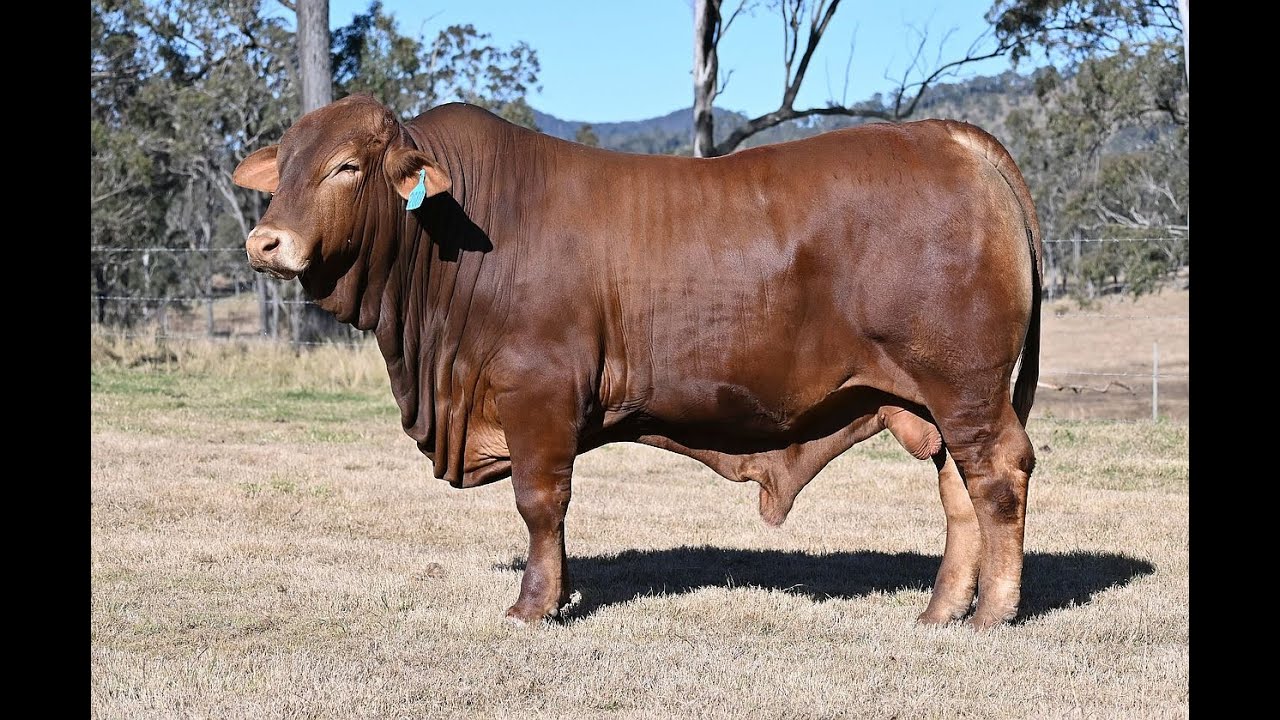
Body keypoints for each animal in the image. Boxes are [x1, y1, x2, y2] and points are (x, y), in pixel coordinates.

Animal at [232, 94, 1042, 630]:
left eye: (345, 166)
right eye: (285, 166)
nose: (265, 242)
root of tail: (952, 138)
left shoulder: (539, 394)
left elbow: (540, 503)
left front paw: (535, 605)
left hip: (967, 389)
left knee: (997, 478)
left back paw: (991, 614)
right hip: (934, 400)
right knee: (958, 492)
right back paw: (940, 609)